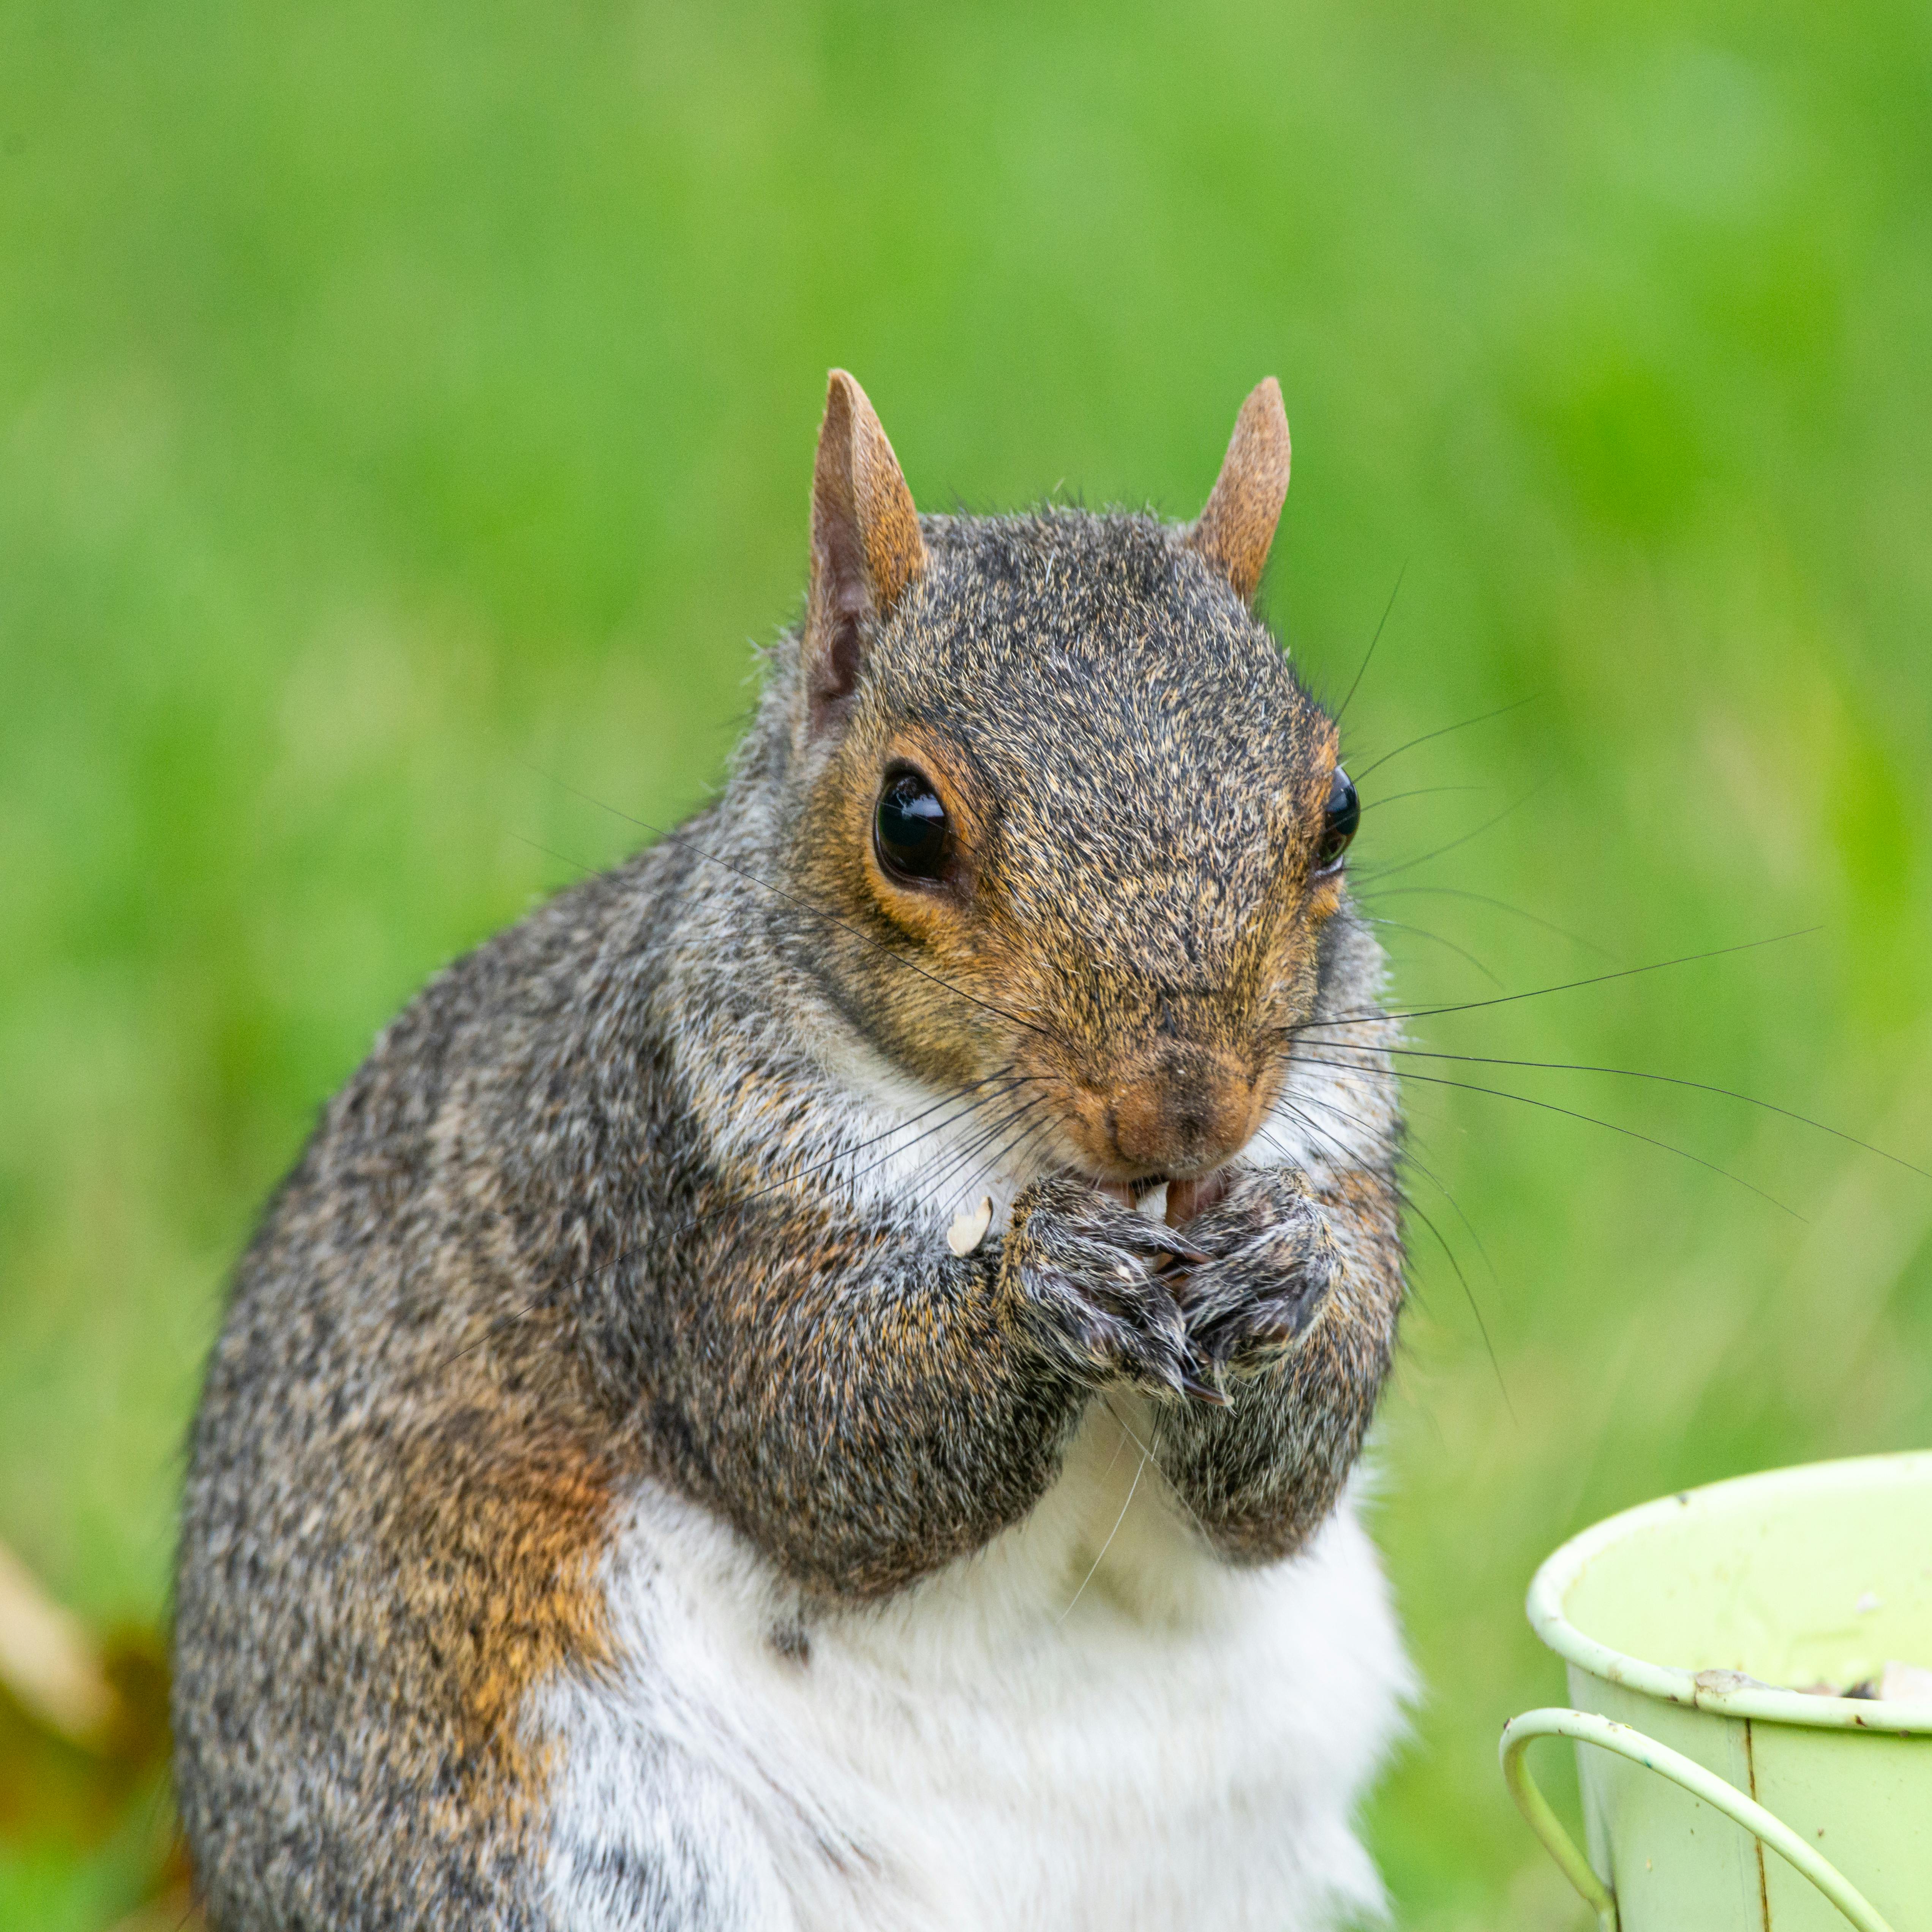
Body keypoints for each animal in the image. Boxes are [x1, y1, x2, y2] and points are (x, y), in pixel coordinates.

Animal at [172, 371, 1411, 1930]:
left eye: (1338, 812)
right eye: (909, 820)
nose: (1184, 1111)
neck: (1012, 1149)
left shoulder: (1345, 1131)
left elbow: (1287, 1473)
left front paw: (1281, 1267)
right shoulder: (669, 1171)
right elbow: (816, 1432)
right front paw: (1045, 1284)